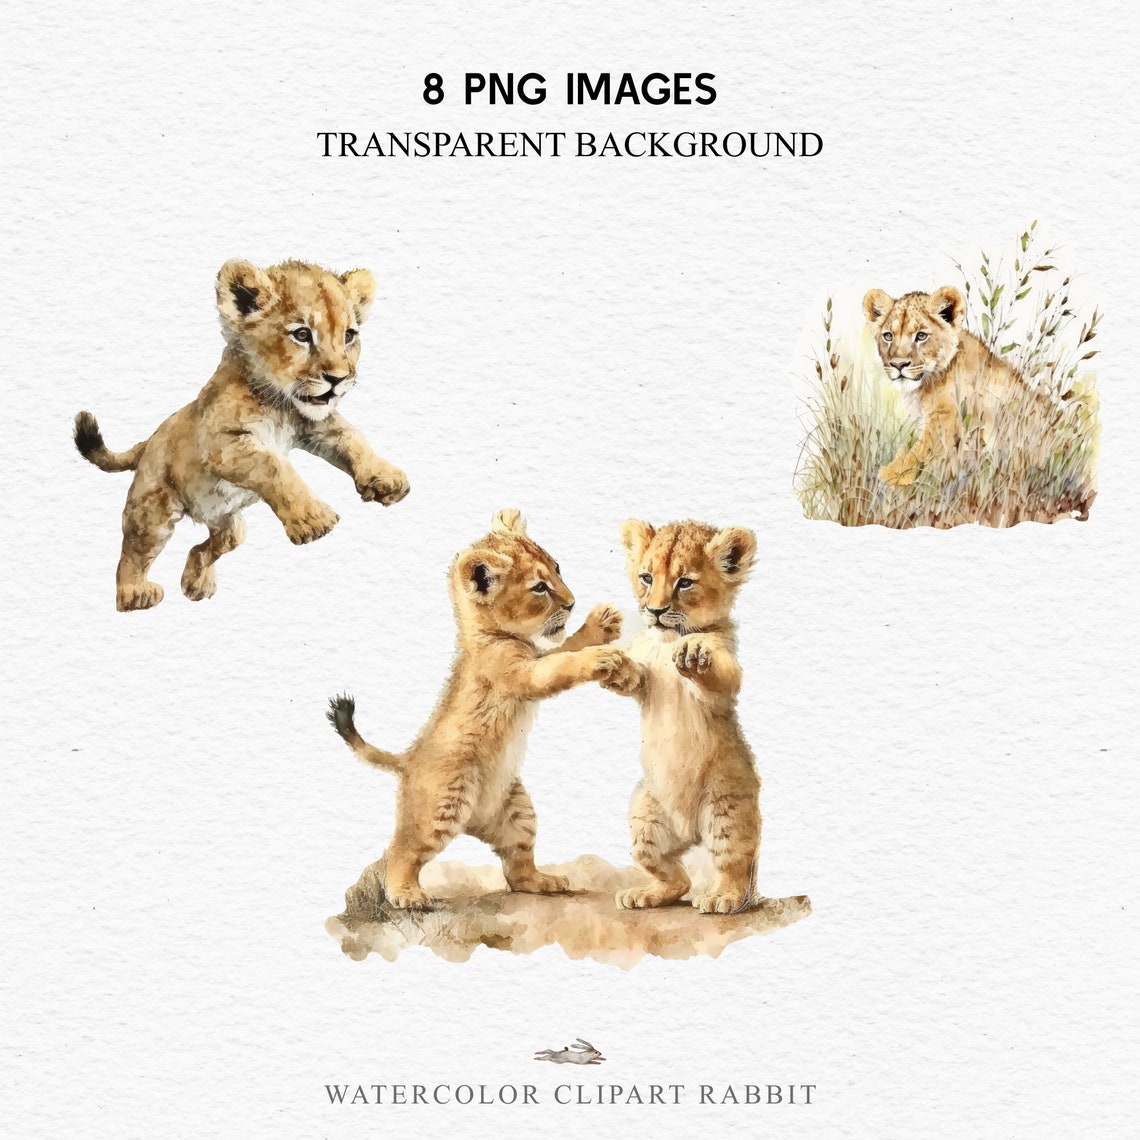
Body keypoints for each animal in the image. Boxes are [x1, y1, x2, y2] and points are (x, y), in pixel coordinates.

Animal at [74, 258, 409, 611]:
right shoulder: (220, 443)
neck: (281, 405)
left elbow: (353, 438)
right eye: (302, 334)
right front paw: (312, 519)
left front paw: (385, 479)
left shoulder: (315, 426)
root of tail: (150, 439)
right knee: (135, 551)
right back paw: (134, 594)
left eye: (349, 336)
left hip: (227, 519)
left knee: (213, 543)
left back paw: (197, 583)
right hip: (153, 508)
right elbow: (274, 465)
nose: (339, 379)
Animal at [327, 508, 637, 910]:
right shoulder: (521, 675)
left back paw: (545, 881)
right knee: (402, 851)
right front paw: (602, 656)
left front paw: (602, 625)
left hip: (518, 811)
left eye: (558, 568)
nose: (571, 603)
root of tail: (408, 759)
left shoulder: (534, 657)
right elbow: (562, 663)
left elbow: (566, 645)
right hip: (439, 807)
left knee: (517, 869)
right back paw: (407, 895)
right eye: (540, 587)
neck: (494, 635)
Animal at [601, 519, 762, 915]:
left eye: (685, 582)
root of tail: (690, 831)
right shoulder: (644, 675)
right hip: (644, 819)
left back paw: (722, 899)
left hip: (727, 809)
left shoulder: (727, 671)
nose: (656, 611)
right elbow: (635, 676)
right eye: (646, 577)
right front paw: (614, 666)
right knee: (675, 877)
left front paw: (695, 653)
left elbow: (722, 673)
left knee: (735, 866)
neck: (668, 641)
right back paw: (643, 894)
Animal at [863, 285, 1035, 486]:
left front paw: (894, 474)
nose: (898, 364)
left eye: (921, 336)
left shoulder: (946, 418)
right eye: (888, 336)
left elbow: (921, 451)